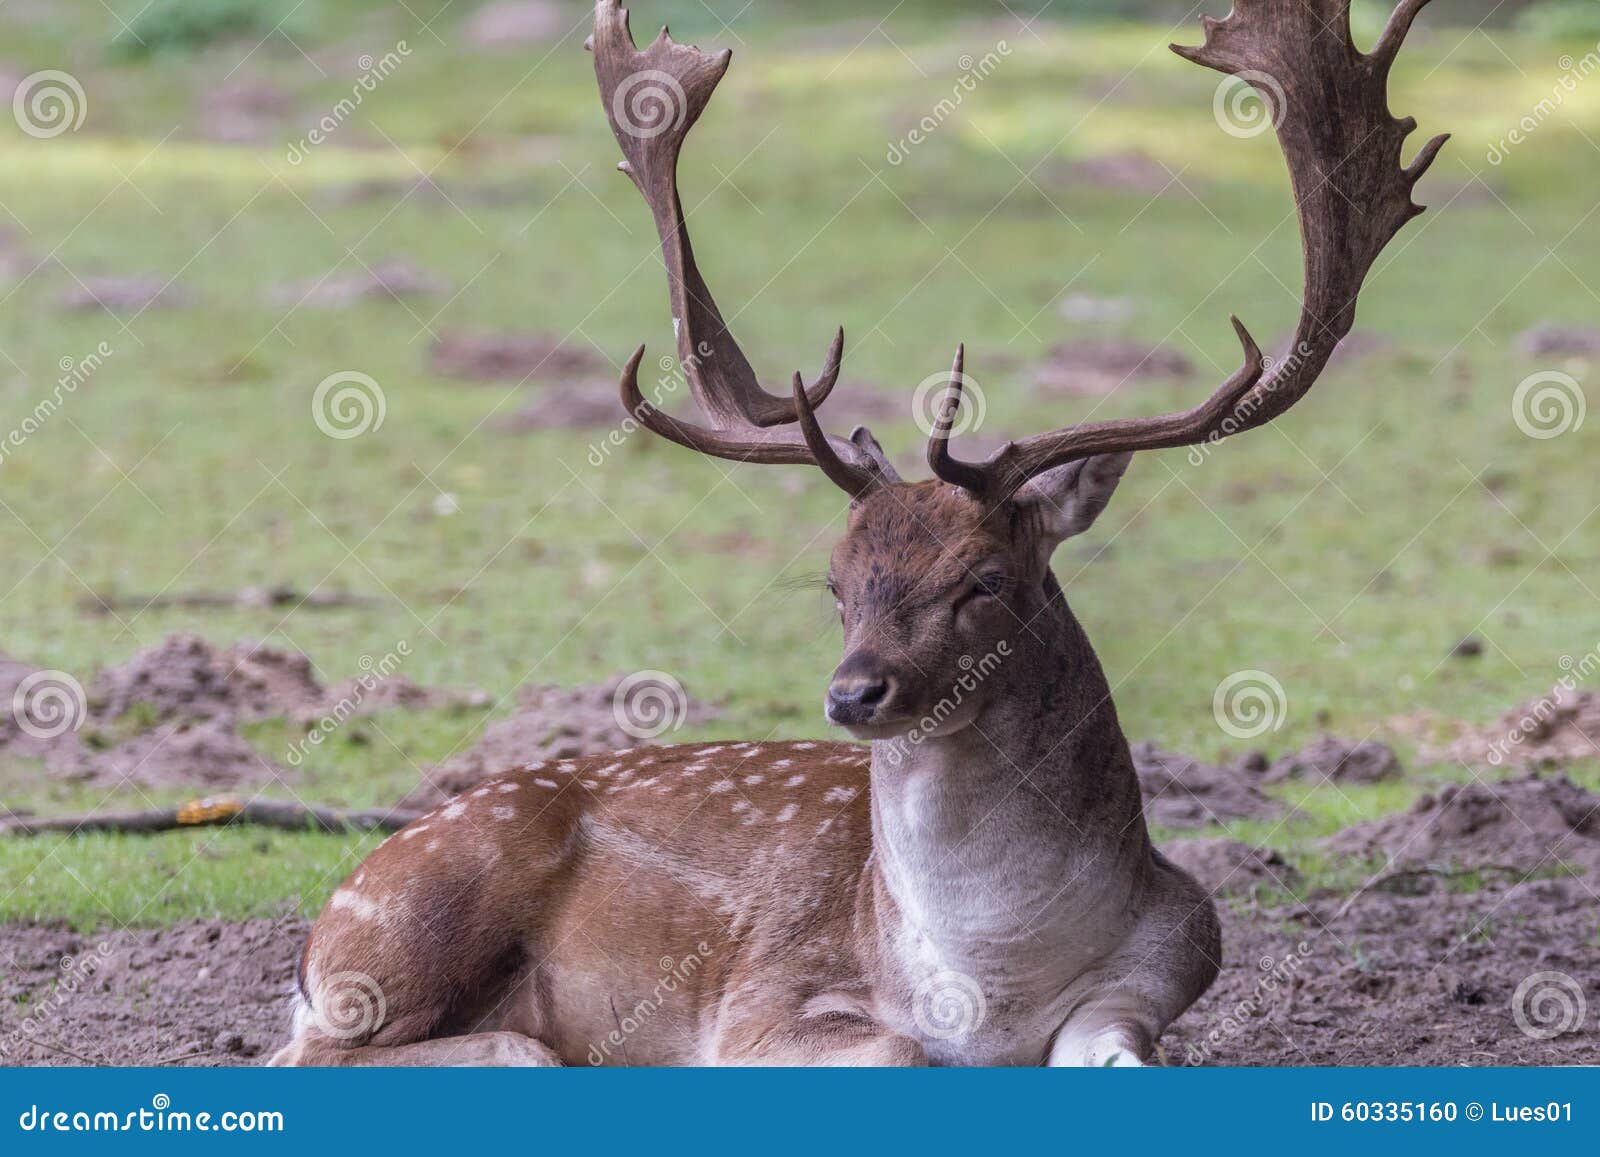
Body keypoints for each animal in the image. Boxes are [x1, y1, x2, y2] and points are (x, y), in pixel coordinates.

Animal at [271, 0, 1445, 1067]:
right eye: (834, 580)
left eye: (985, 577)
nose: (853, 693)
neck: (991, 984)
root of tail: (329, 918)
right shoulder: (762, 1003)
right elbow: (897, 1049)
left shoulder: (1168, 962)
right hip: (412, 921)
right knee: (335, 1051)